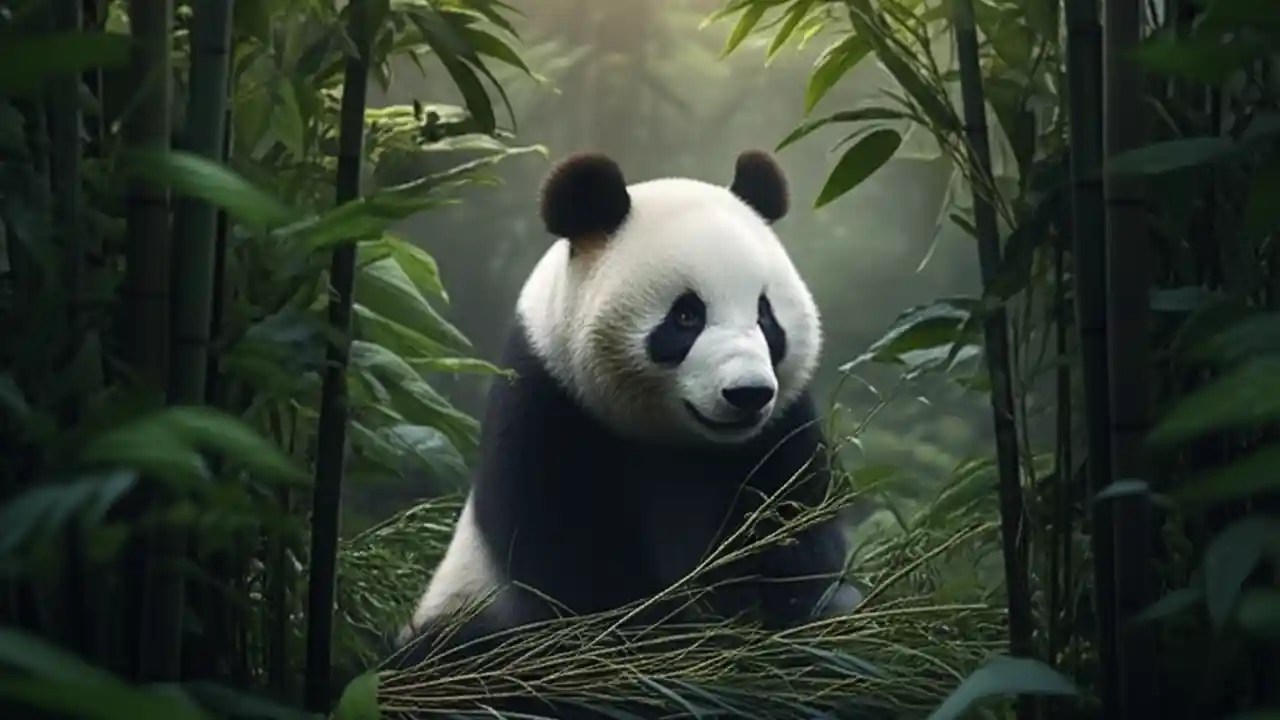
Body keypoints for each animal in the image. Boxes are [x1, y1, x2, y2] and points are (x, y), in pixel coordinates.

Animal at [388, 150, 862, 709]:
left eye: (766, 317)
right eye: (686, 316)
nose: (747, 393)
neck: (677, 443)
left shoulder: (781, 428)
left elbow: (804, 528)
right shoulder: (550, 406)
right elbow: (575, 568)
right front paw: (676, 641)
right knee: (455, 656)